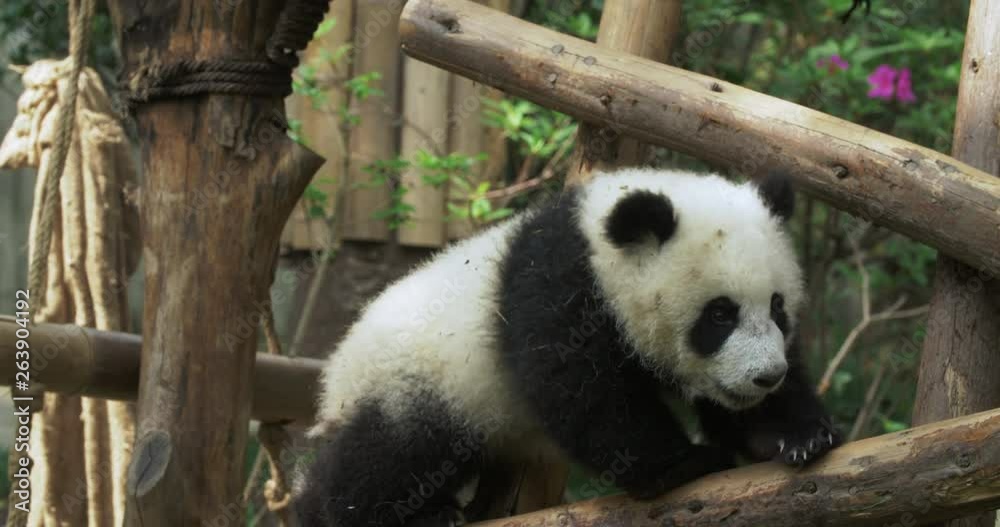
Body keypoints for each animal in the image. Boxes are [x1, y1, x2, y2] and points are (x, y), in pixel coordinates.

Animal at [295, 167, 841, 526]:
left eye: (777, 306)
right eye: (720, 314)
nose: (766, 377)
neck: (598, 243)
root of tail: (332, 382)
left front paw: (797, 434)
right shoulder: (557, 292)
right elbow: (583, 395)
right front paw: (685, 463)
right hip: (412, 380)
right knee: (385, 457)